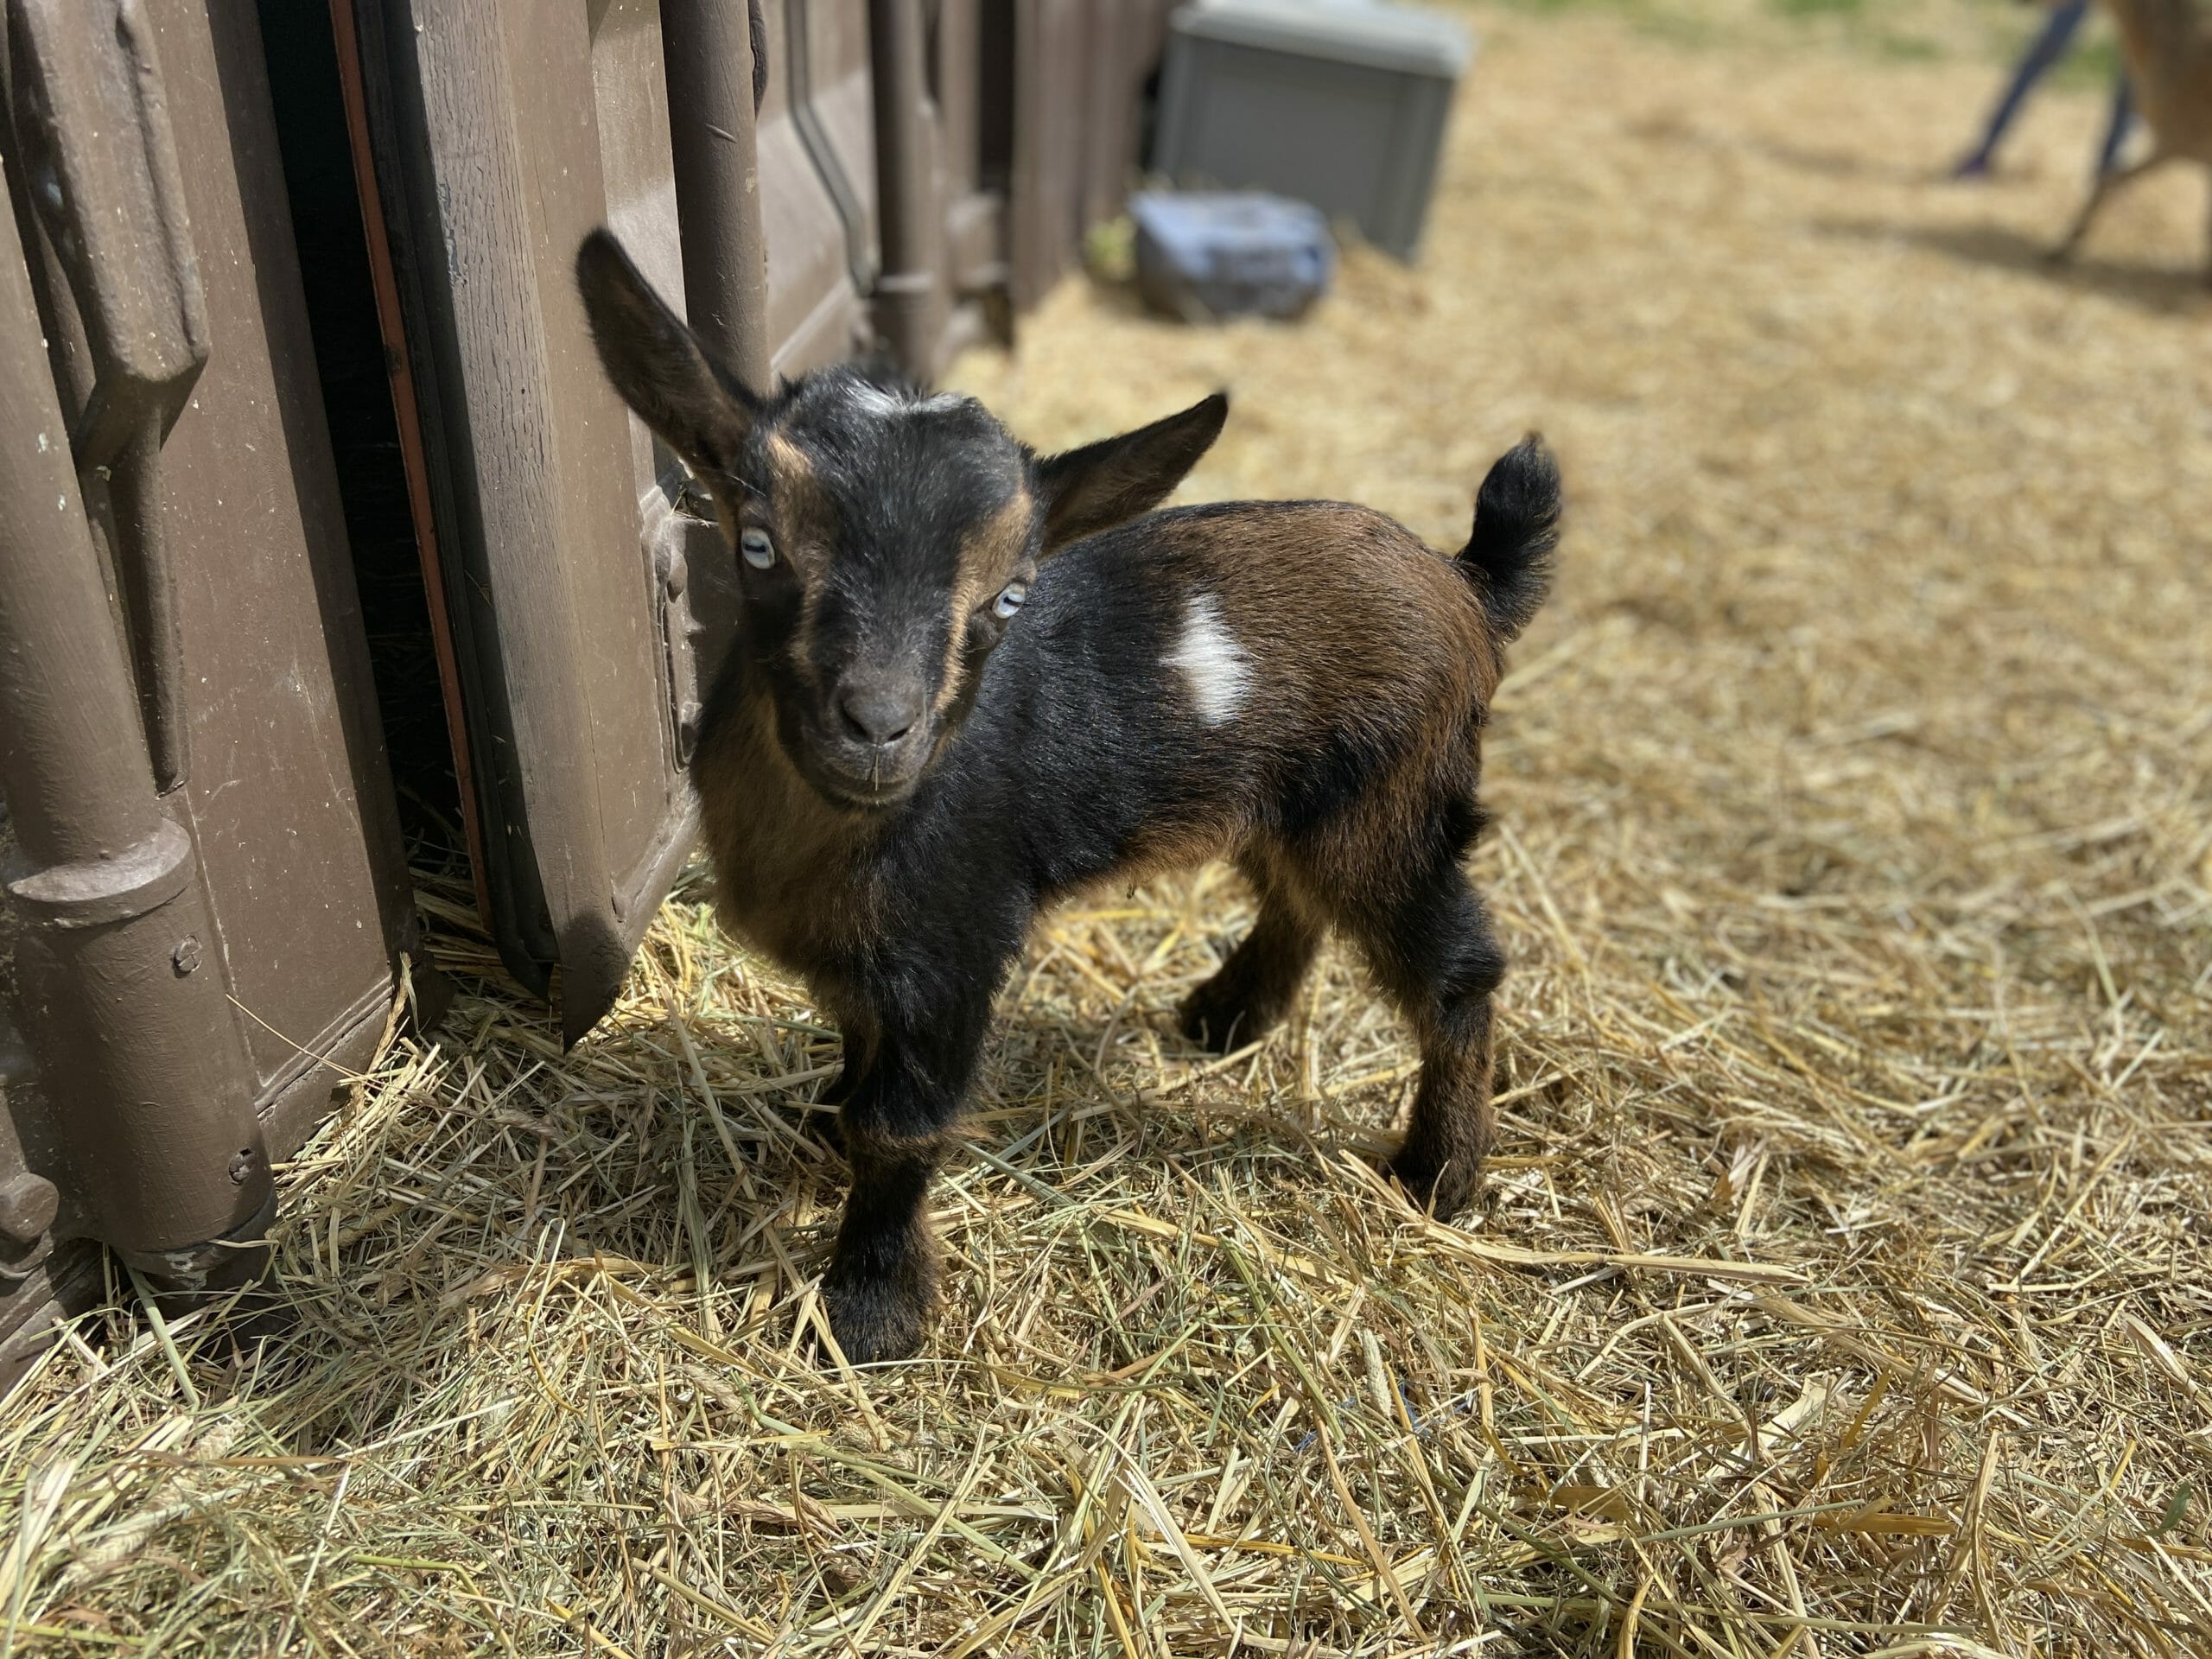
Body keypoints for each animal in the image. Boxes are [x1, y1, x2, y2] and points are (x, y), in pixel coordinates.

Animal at [576, 229, 1562, 1363]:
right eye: (756, 543)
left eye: (1009, 594)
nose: (876, 726)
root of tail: (1467, 580)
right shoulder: (870, 957)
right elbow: (859, 1053)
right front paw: (822, 1131)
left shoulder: (953, 938)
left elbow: (899, 1126)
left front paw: (869, 1309)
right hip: (1298, 801)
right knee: (1299, 896)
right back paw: (1226, 1017)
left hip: (1394, 801)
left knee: (1455, 970)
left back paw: (1437, 1176)